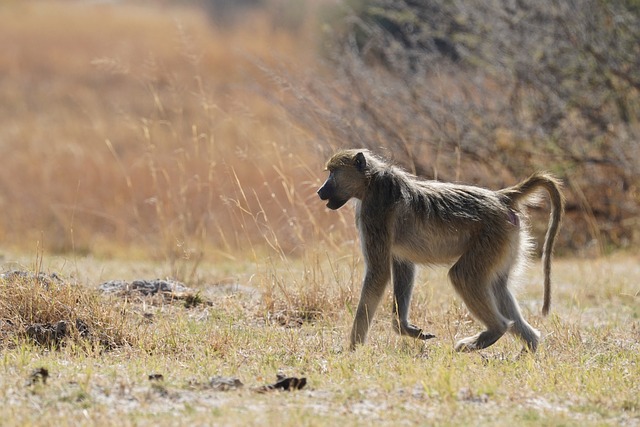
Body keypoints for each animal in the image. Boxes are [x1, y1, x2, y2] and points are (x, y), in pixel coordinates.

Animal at [317, 149, 564, 352]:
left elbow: (378, 273)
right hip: (505, 241)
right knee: (497, 286)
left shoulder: (374, 211)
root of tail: (501, 197)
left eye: (333, 173)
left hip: (492, 237)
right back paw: (529, 345)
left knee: (463, 276)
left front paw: (352, 349)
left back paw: (493, 332)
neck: (370, 181)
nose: (320, 191)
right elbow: (403, 267)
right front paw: (405, 329)